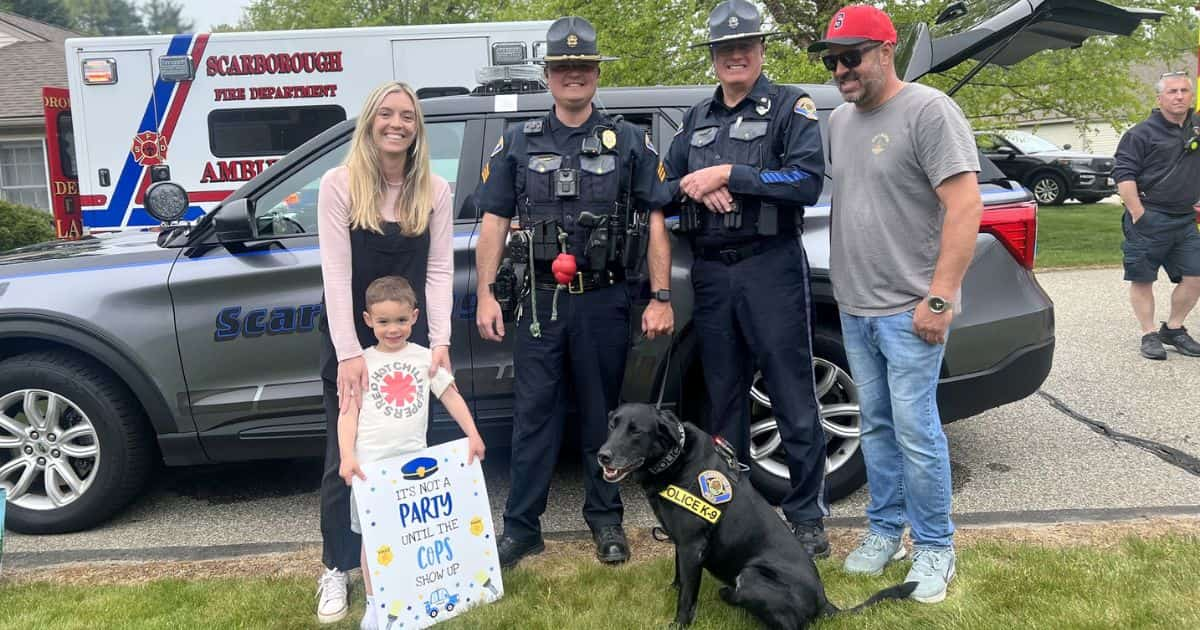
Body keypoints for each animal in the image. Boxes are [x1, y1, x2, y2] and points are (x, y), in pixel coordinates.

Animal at [595, 405, 912, 624]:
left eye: (636, 431)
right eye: (612, 425)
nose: (602, 455)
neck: (675, 458)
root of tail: (823, 601)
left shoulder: (691, 545)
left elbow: (687, 596)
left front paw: (679, 623)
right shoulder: (681, 542)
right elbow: (680, 578)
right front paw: (672, 588)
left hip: (750, 575)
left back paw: (728, 596)